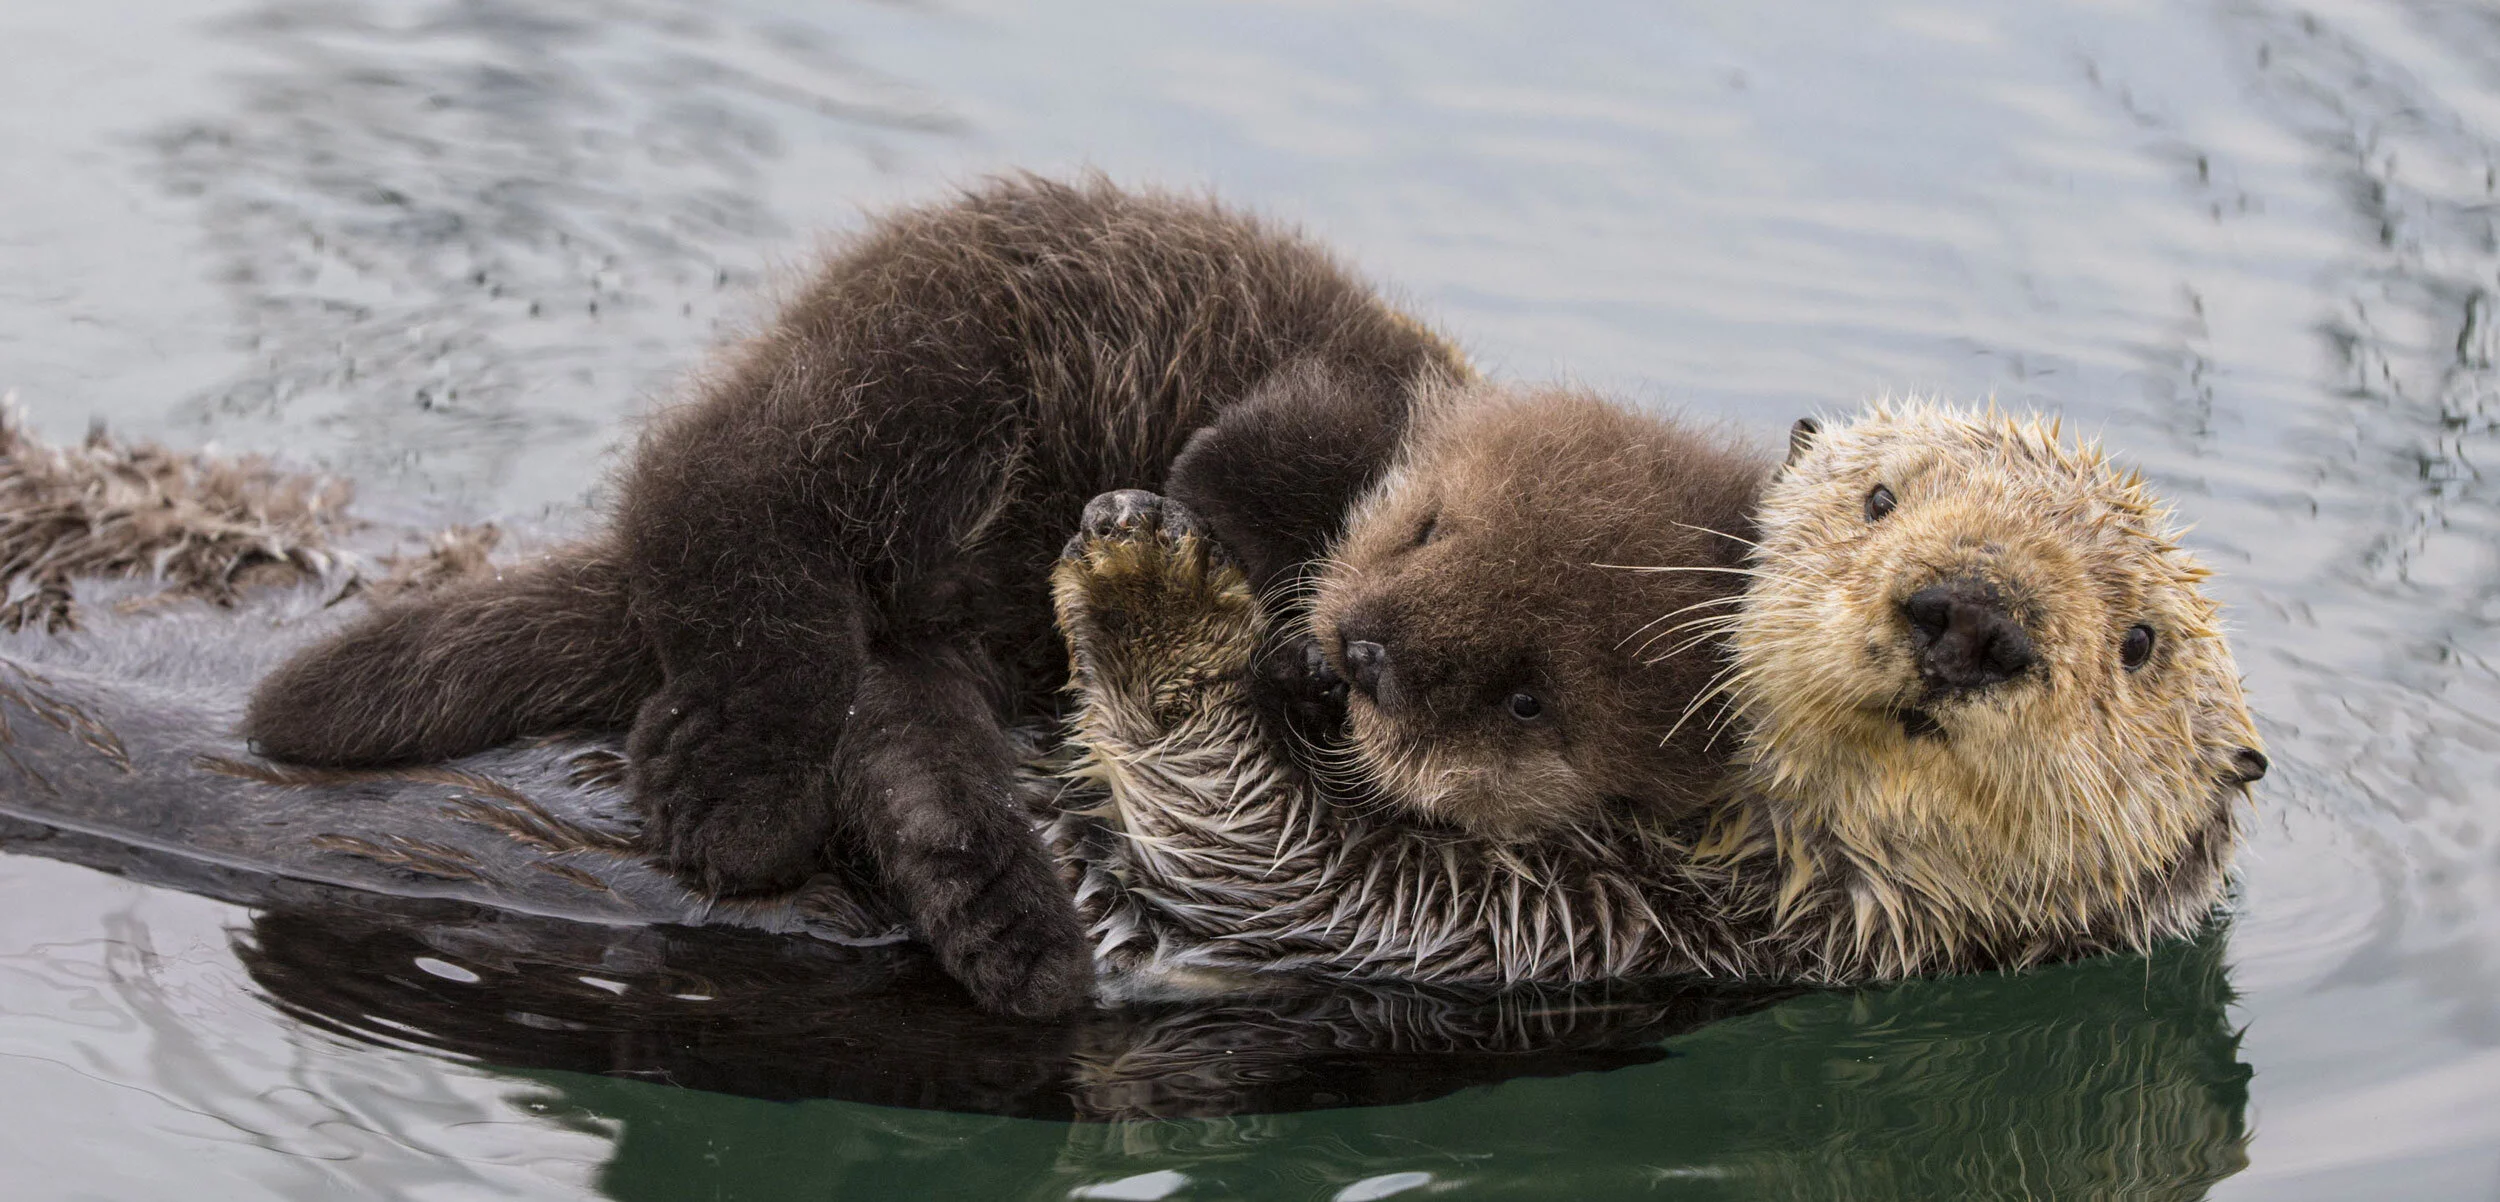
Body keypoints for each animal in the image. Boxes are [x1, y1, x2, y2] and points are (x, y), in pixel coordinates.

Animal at [1048, 399, 2268, 985]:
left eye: (2141, 643)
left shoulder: (1560, 935)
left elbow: (1263, 860)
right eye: (1880, 498)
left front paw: (1151, 590)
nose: (1973, 615)